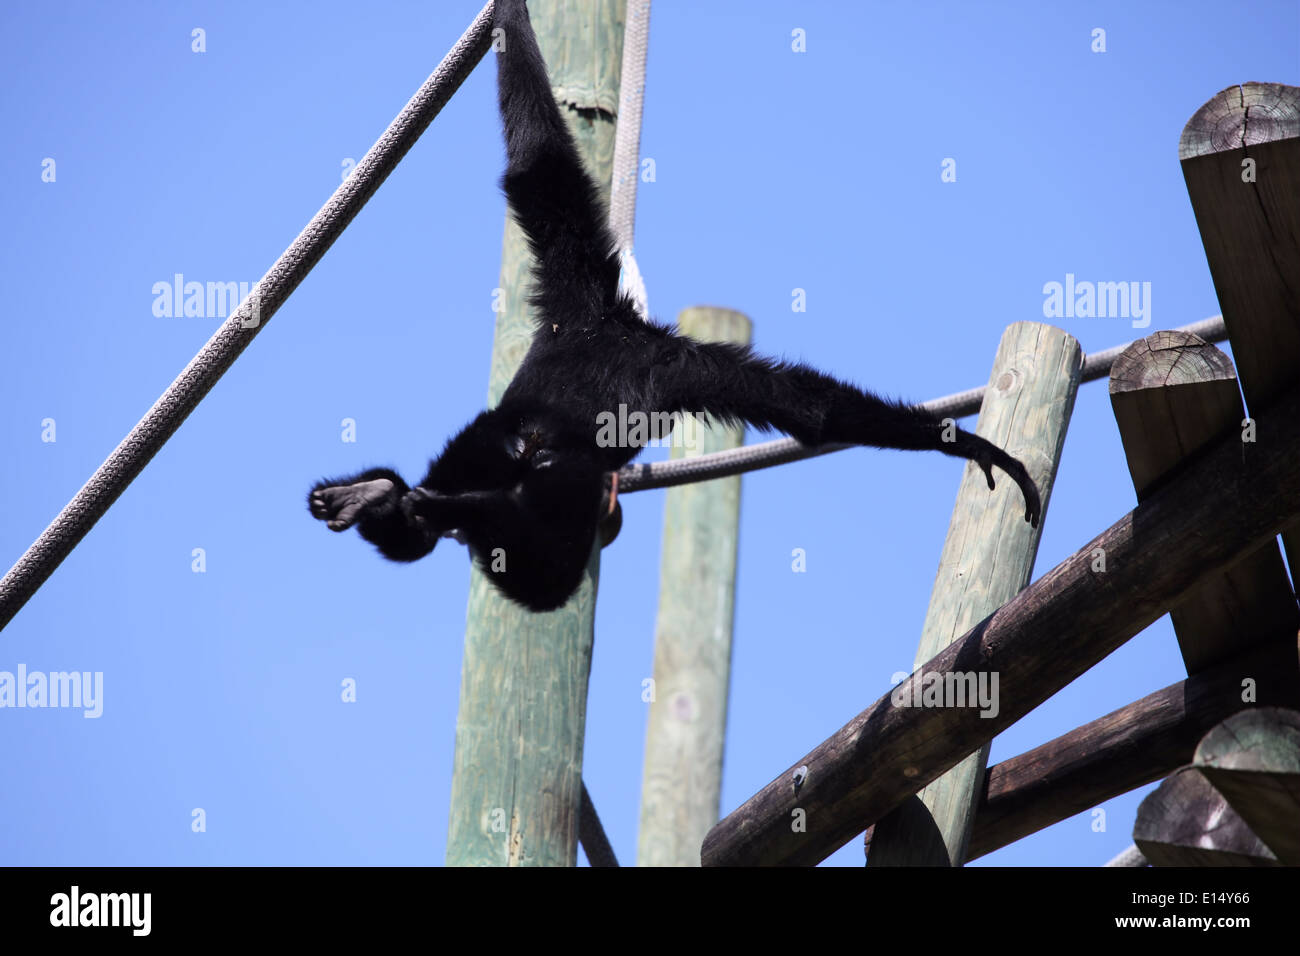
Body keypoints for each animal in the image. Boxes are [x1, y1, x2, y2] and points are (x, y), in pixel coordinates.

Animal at [308, 0, 1042, 612]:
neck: (615, 330)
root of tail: (527, 438)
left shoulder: (572, 289)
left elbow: (535, 164)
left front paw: (510, 14)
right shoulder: (682, 366)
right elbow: (810, 408)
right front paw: (978, 448)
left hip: (480, 440)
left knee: (440, 525)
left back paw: (385, 499)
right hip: (563, 477)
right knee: (547, 574)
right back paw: (427, 508)